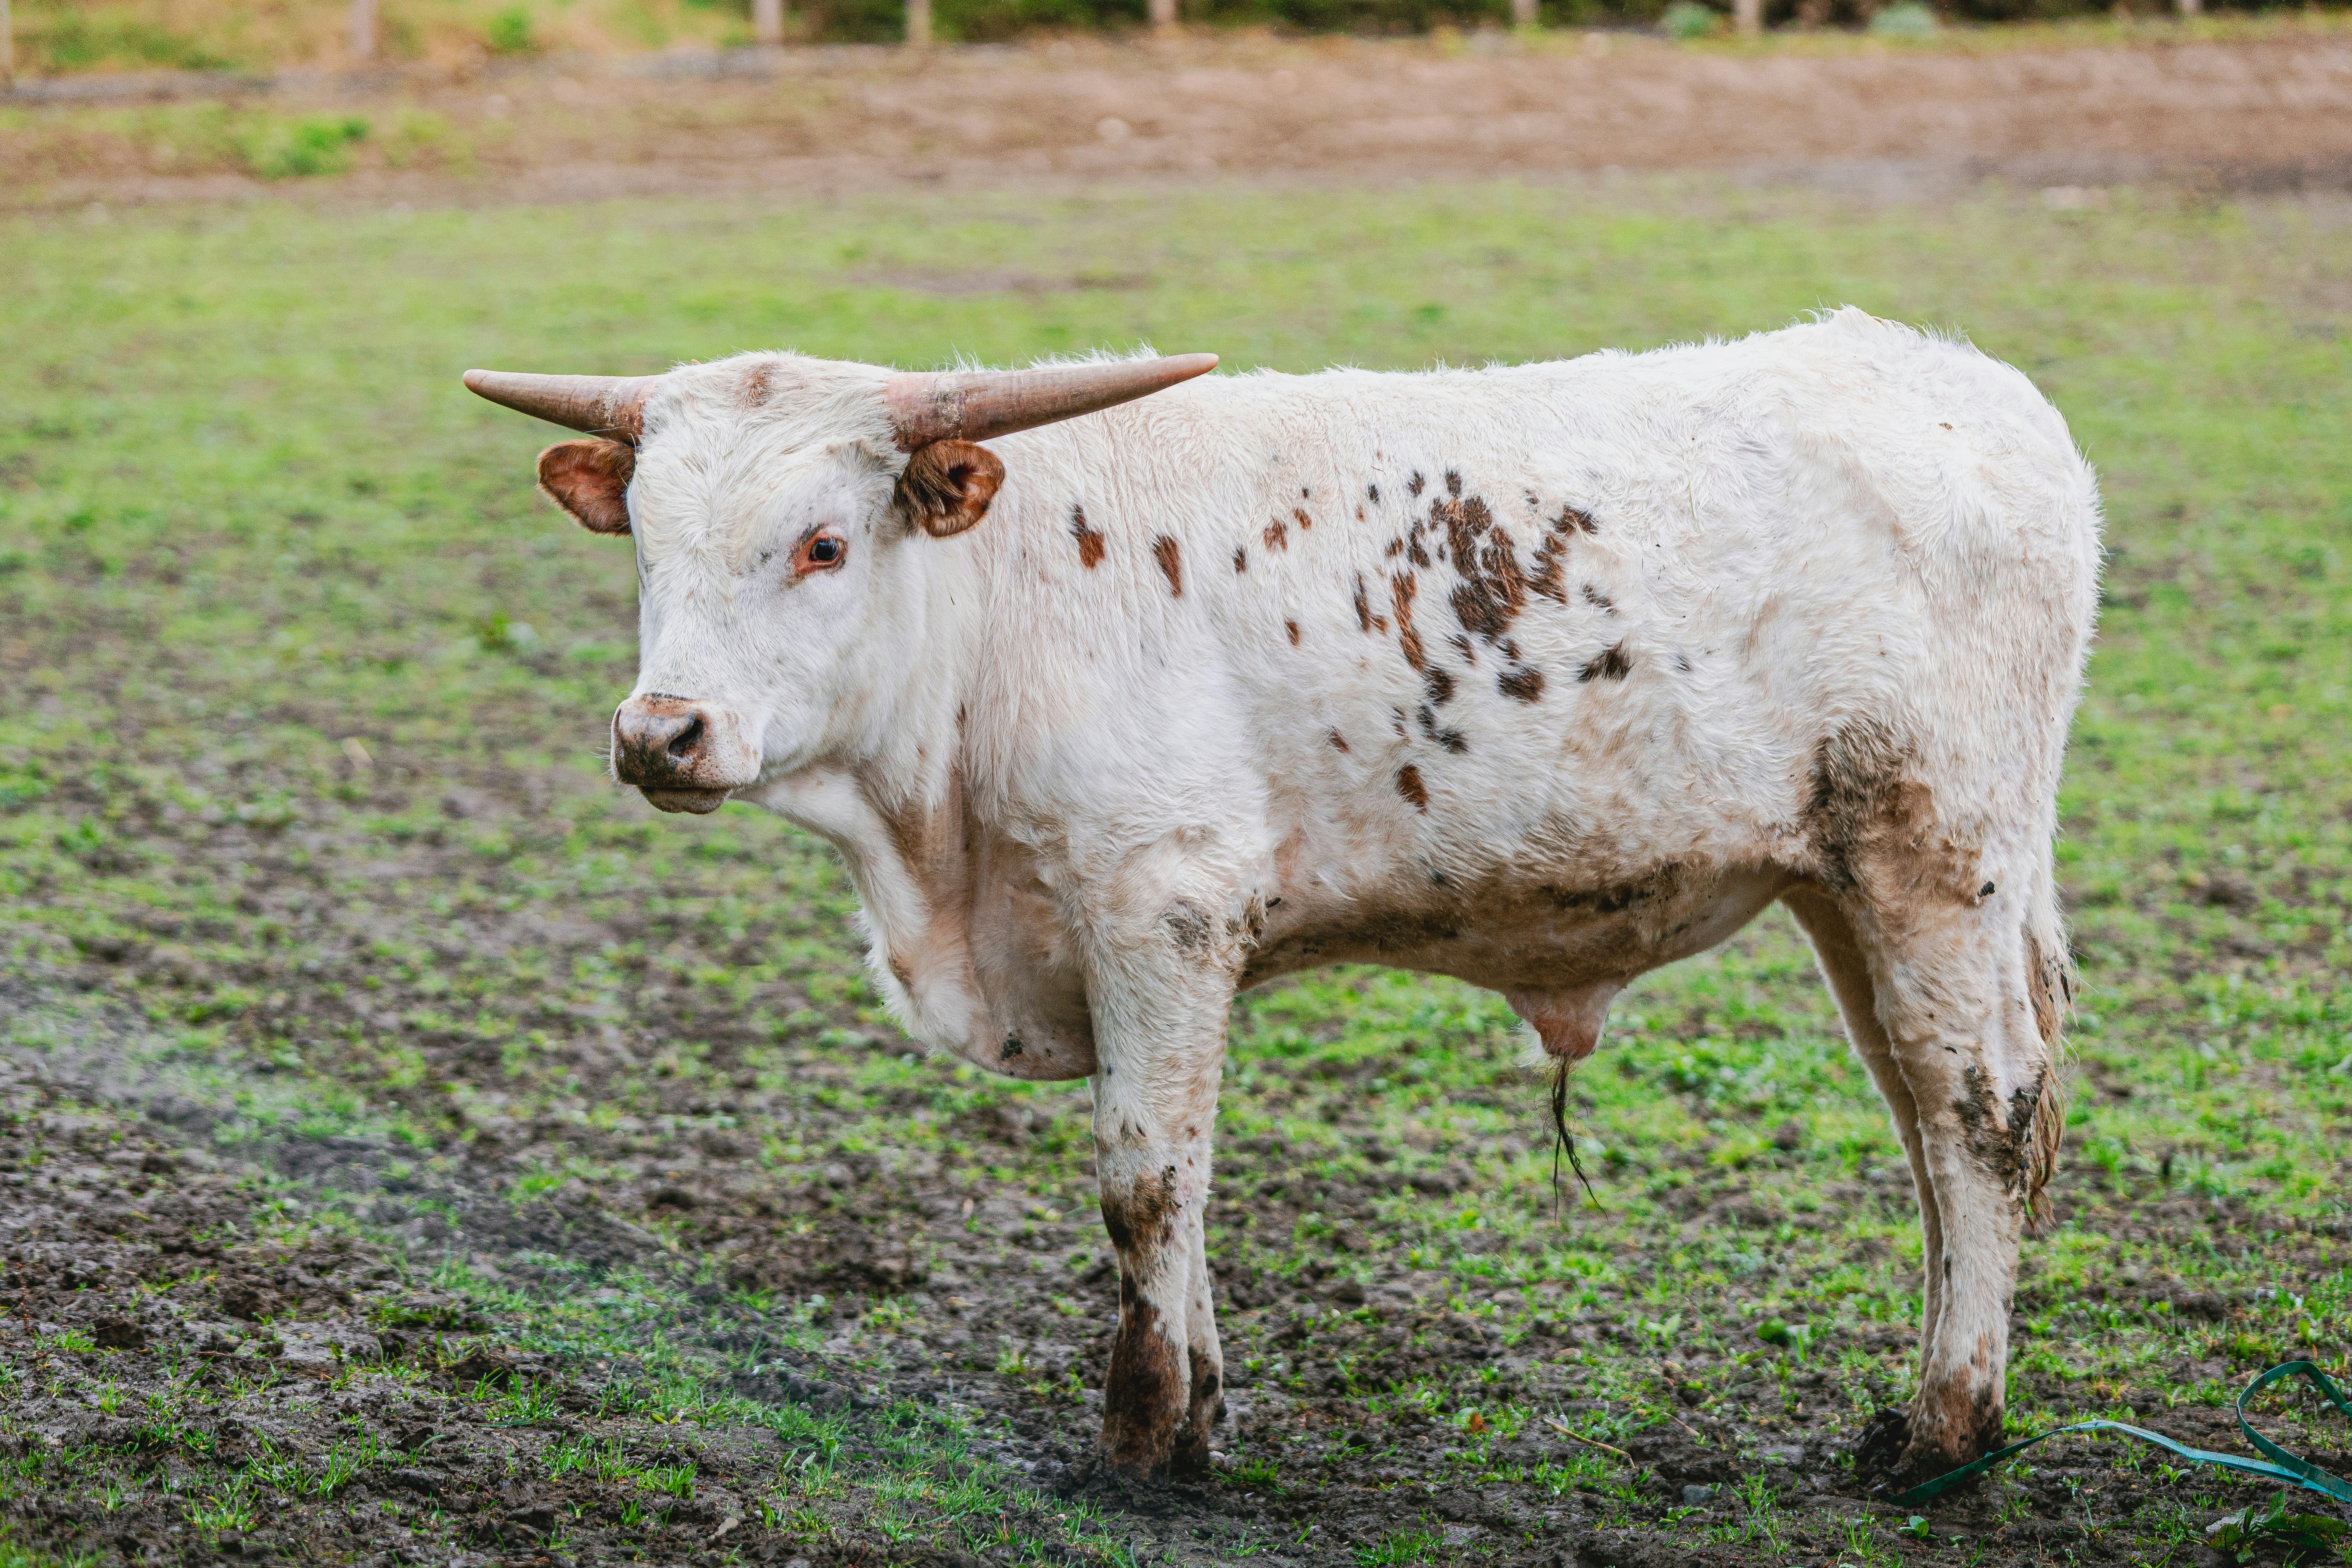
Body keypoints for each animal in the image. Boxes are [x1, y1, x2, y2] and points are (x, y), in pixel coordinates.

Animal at [462, 309, 2100, 1486]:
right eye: (646, 545)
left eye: (820, 541)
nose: (662, 733)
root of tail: (1970, 390)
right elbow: (1174, 1183)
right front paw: (1196, 1413)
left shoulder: (1157, 908)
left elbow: (1142, 1177)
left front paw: (1138, 1441)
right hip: (1845, 891)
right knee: (1922, 1123)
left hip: (1933, 858)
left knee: (1974, 1110)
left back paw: (1942, 1428)